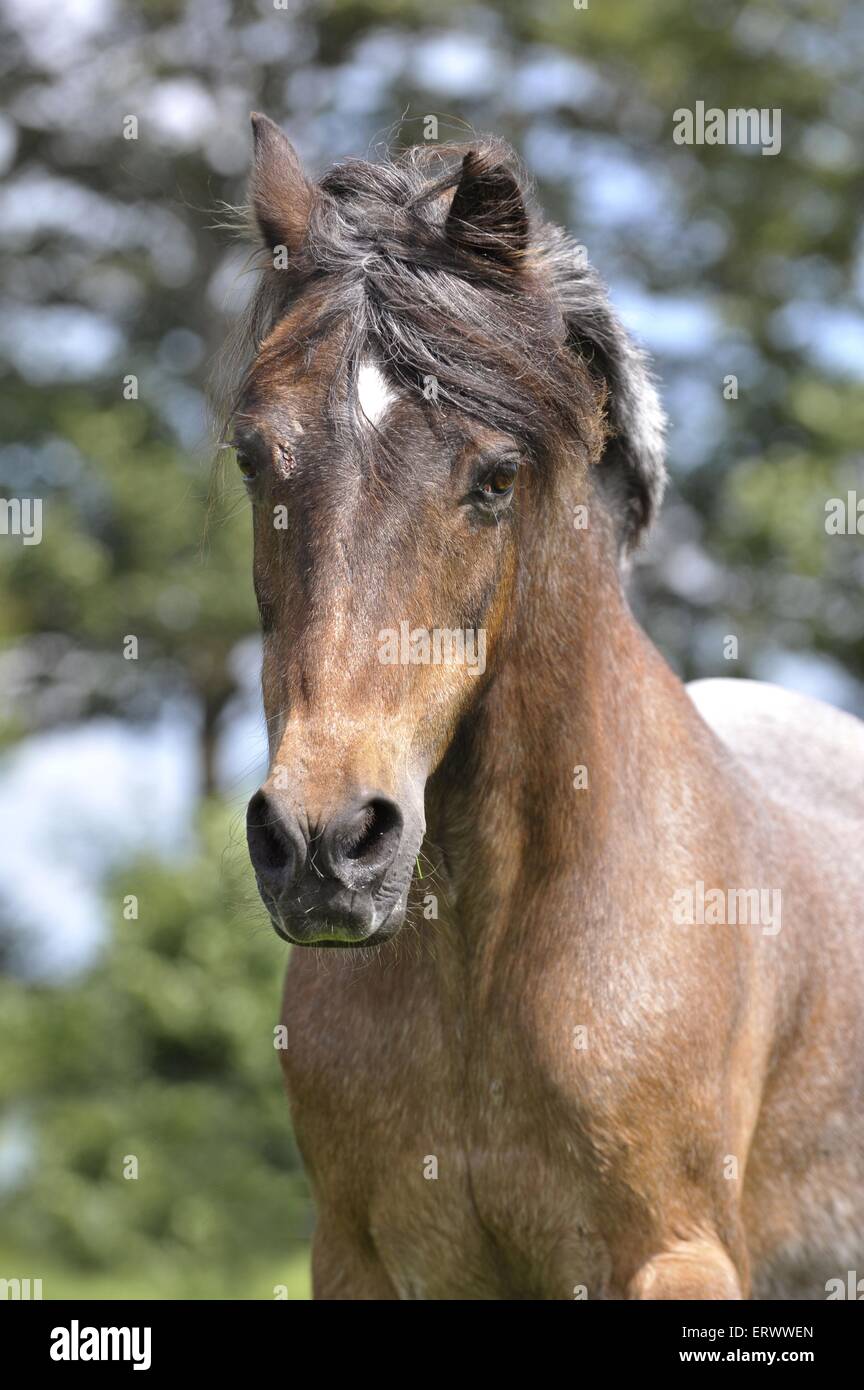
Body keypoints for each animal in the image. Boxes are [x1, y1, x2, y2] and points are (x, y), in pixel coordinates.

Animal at [224, 113, 864, 1299]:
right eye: (254, 458)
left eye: (495, 477)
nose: (324, 842)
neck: (486, 962)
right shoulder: (357, 1259)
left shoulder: (675, 1253)